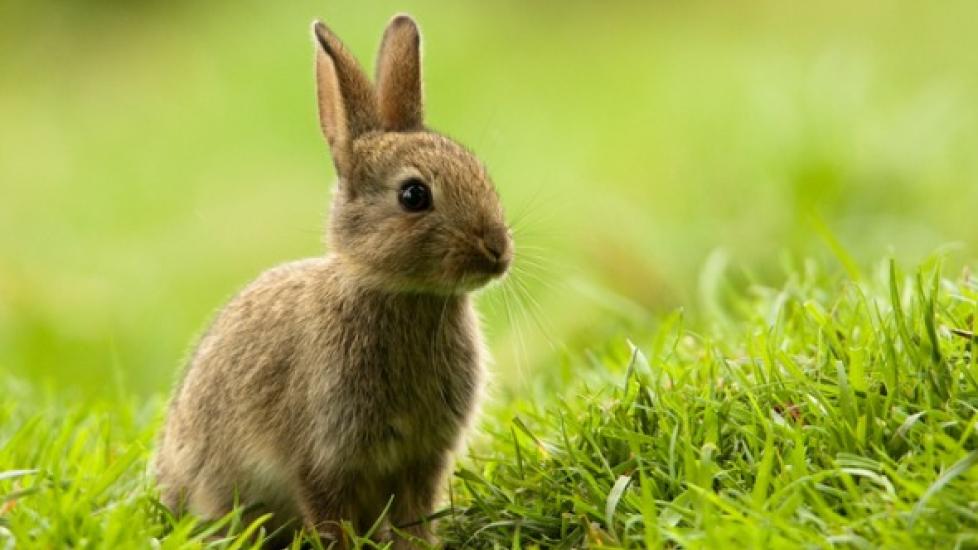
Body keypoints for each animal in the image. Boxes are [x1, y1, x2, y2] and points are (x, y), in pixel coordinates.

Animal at [154, 13, 512, 548]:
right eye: (413, 195)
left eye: (480, 173)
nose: (498, 251)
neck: (400, 294)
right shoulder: (322, 455)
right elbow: (329, 514)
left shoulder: (422, 457)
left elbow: (414, 514)